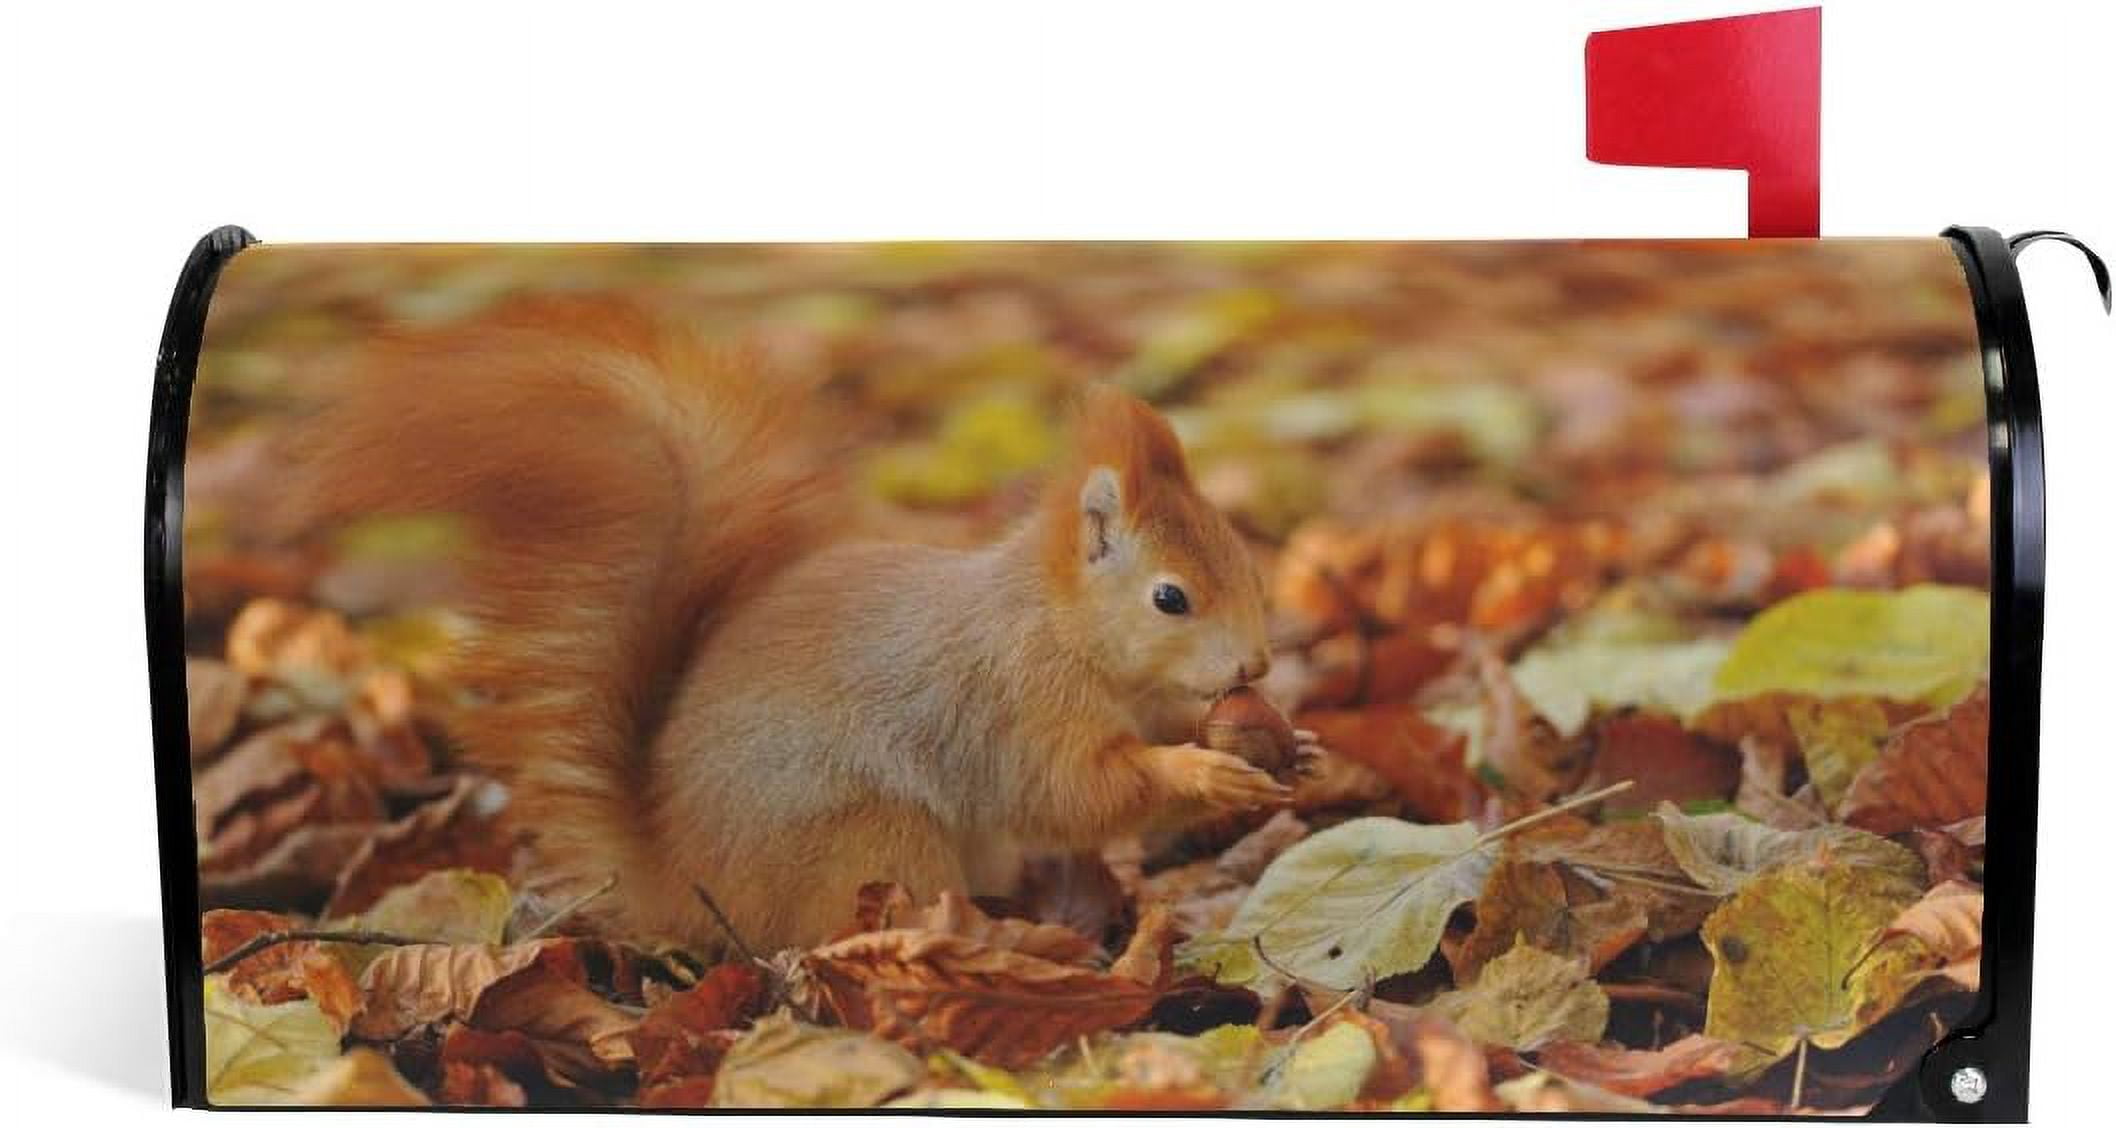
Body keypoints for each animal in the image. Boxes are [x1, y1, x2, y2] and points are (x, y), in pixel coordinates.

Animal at [298, 298, 1289, 954]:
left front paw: (1288, 746)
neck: (1062, 630)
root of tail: (680, 881)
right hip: (871, 840)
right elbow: (1072, 793)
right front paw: (1200, 770)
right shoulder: (1017, 705)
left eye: (1247, 561)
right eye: (1170, 598)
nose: (1256, 665)